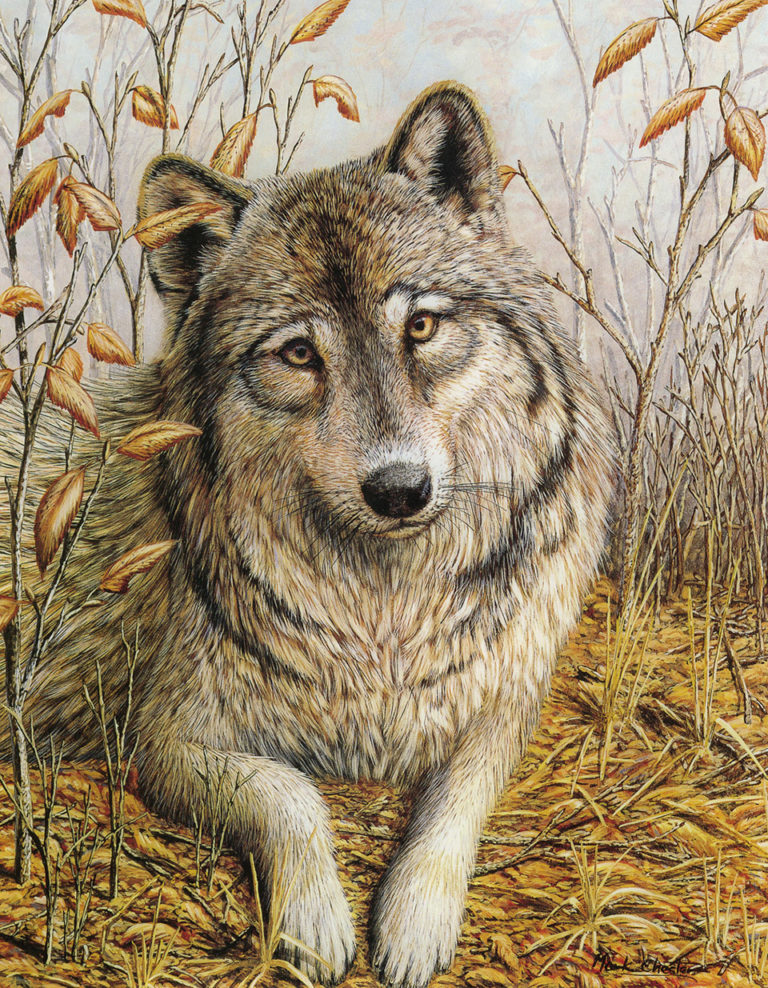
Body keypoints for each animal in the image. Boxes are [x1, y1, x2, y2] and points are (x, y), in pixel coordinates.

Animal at [2, 81, 613, 987]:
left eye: (420, 328)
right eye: (297, 353)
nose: (399, 490)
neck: (383, 615)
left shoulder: (501, 706)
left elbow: (454, 807)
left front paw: (415, 924)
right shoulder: (165, 740)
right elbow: (290, 797)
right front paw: (313, 925)